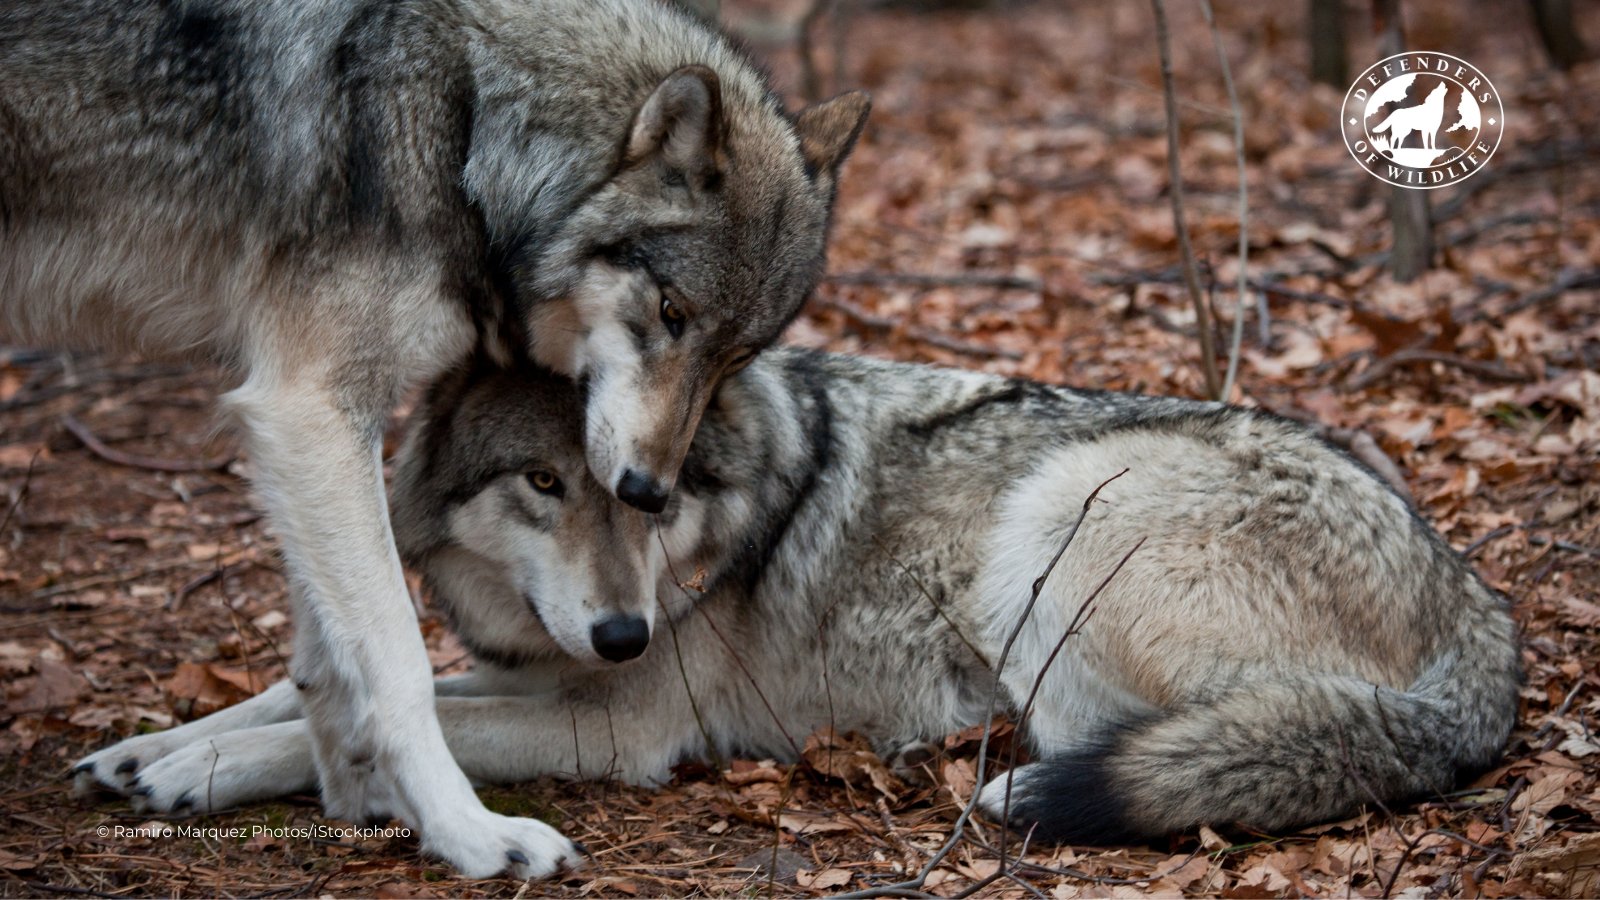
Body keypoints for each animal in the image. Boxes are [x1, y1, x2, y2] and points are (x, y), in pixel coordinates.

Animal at [8, 0, 869, 877]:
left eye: (737, 356)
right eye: (671, 313)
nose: (647, 490)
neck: (464, 121)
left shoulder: (311, 429)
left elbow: (322, 667)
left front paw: (331, 791)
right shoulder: (310, 404)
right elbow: (399, 666)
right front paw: (468, 832)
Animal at [72, 348, 1522, 847]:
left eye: (648, 491)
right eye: (544, 482)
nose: (624, 632)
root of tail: (1481, 608)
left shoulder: (617, 724)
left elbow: (395, 718)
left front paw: (201, 777)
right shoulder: (535, 663)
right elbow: (339, 687)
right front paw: (147, 750)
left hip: (1053, 515)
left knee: (1086, 746)